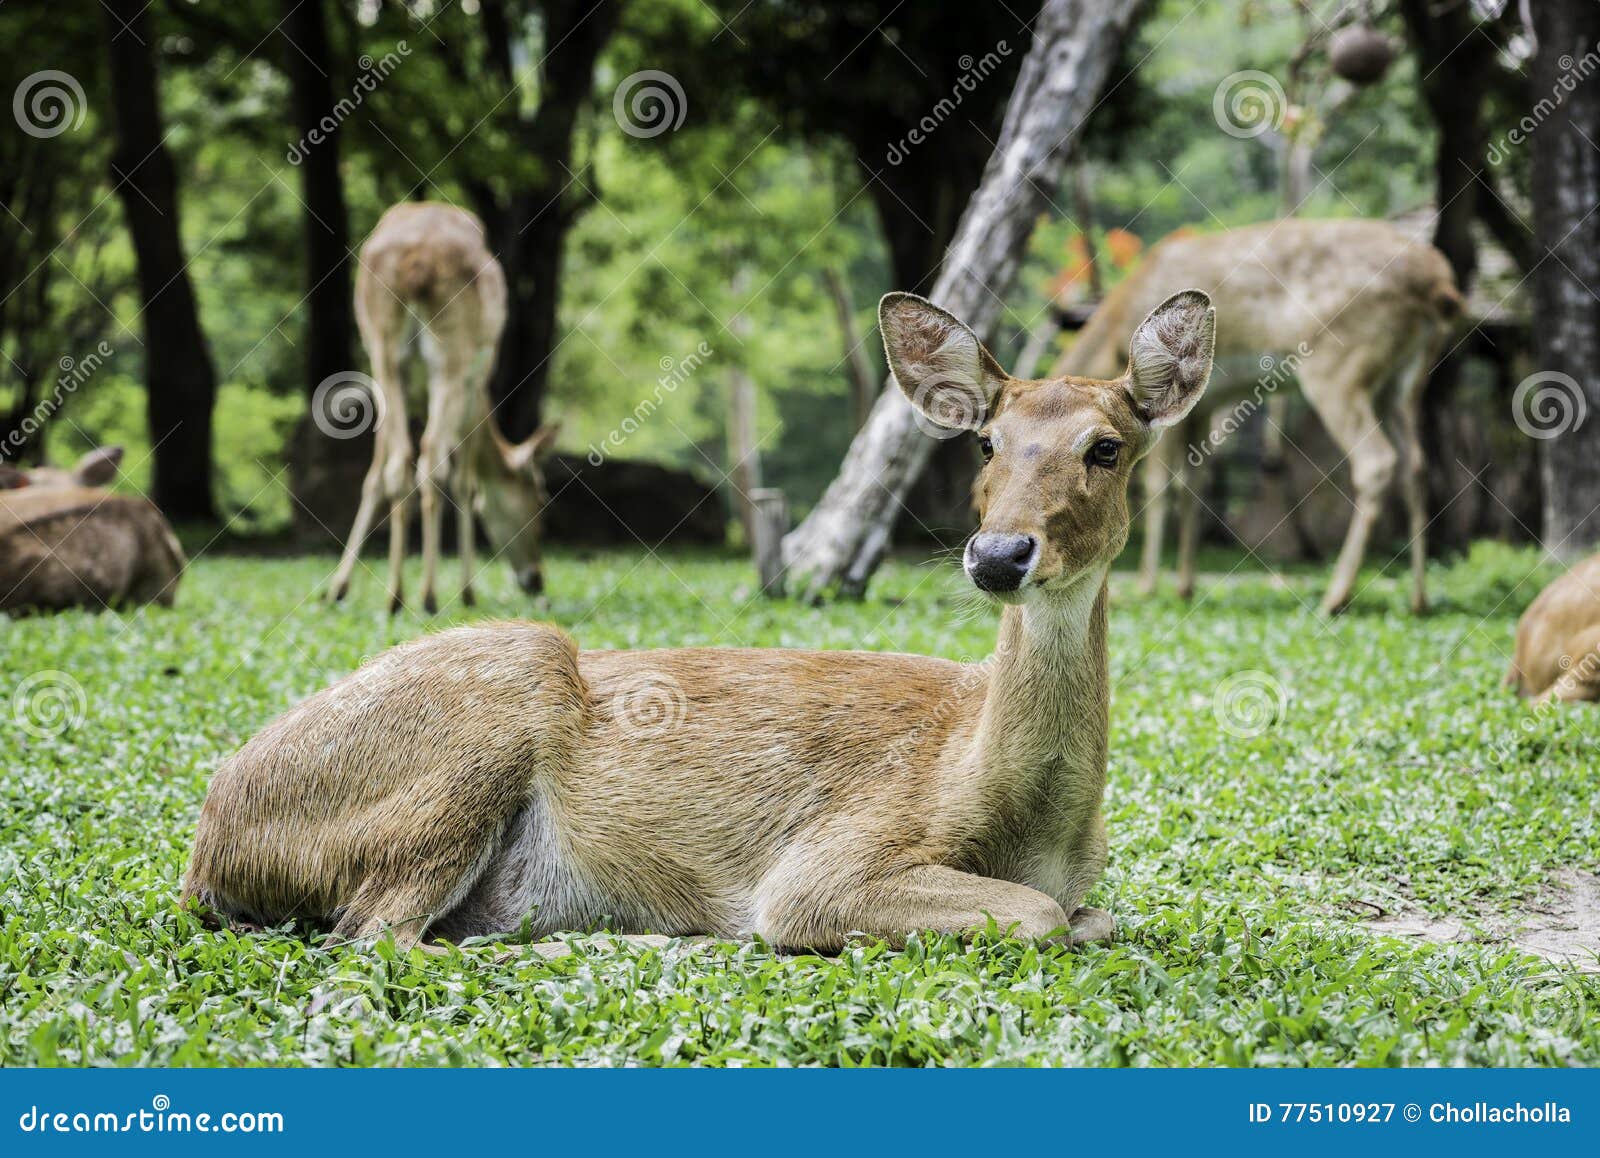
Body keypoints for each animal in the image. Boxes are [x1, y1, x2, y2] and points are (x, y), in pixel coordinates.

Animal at [182, 288, 1216, 953]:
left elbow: (1090, 915)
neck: (1011, 810)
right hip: (473, 732)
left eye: (1107, 447)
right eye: (988, 443)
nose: (999, 554)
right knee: (374, 934)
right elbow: (1041, 919)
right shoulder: (826, 862)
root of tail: (208, 843)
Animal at [327, 202, 558, 615]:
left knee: (400, 460)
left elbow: (375, 473)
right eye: (542, 501)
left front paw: (337, 587)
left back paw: (395, 594)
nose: (535, 579)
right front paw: (468, 592)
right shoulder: (477, 378)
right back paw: (430, 594)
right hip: (452, 353)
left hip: (385, 352)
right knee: (432, 456)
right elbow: (465, 479)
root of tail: (417, 265)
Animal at [1053, 218, 1462, 615]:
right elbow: (1193, 483)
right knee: (1417, 466)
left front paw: (1147, 587)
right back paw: (1419, 600)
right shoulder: (1205, 404)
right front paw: (1185, 585)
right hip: (1402, 384)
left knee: (1377, 461)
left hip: (1338, 368)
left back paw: (1335, 597)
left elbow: (1160, 484)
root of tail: (1438, 285)